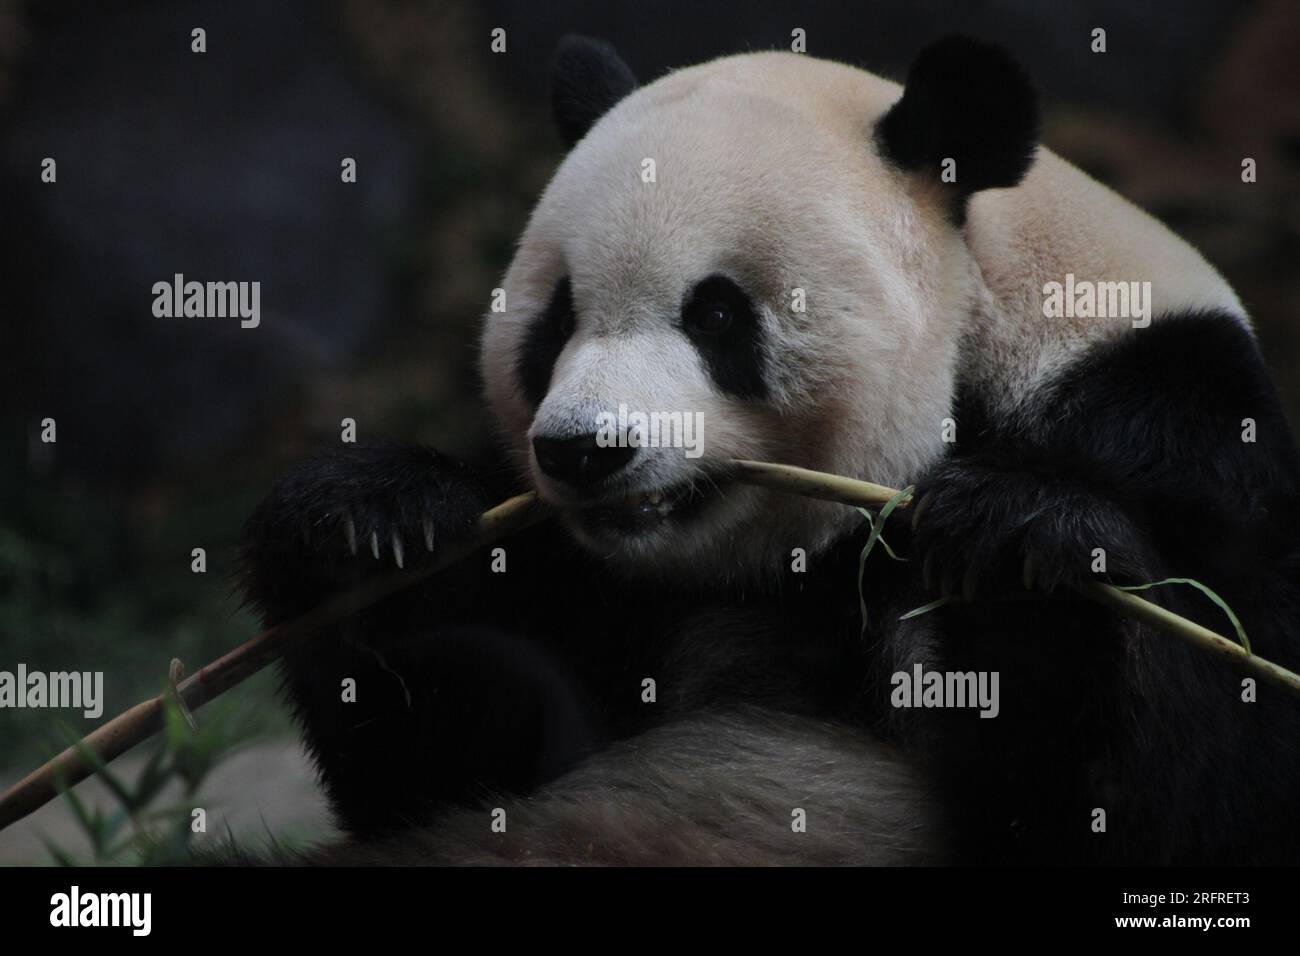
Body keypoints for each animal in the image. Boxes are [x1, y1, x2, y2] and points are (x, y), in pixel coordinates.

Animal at [240, 34, 1300, 865]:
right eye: (558, 319)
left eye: (715, 314)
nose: (584, 451)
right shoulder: (589, 583)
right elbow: (444, 763)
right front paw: (366, 520)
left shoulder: (1175, 437)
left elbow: (1182, 799)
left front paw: (1013, 548)